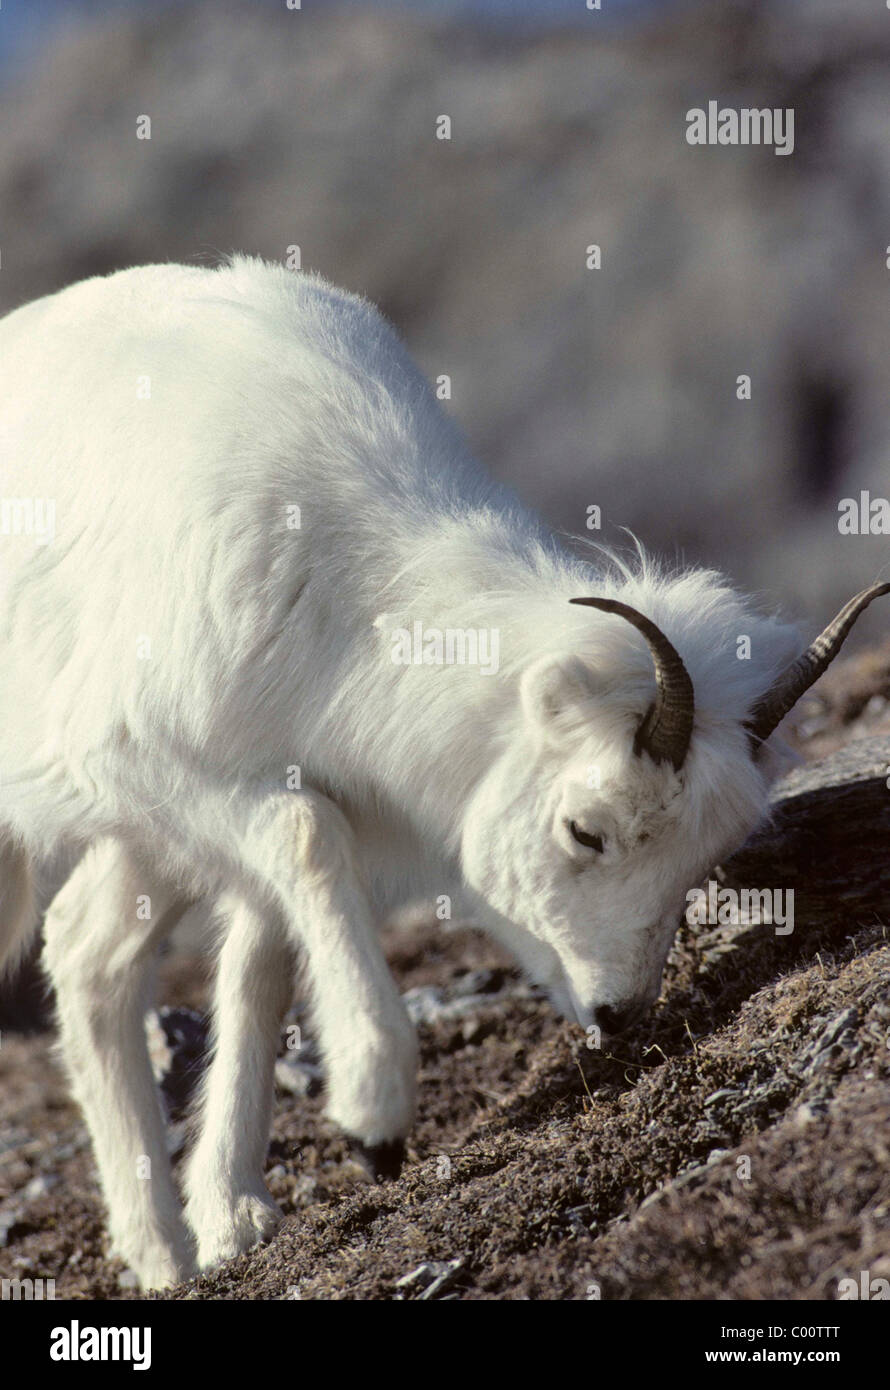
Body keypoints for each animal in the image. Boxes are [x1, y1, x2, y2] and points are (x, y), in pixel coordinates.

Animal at [0, 256, 884, 1290]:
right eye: (585, 830)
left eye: (694, 865)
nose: (619, 1013)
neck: (343, 598)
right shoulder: (159, 770)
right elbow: (306, 841)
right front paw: (376, 1119)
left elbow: (262, 959)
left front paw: (237, 1217)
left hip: (151, 849)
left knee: (87, 951)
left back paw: (167, 1253)